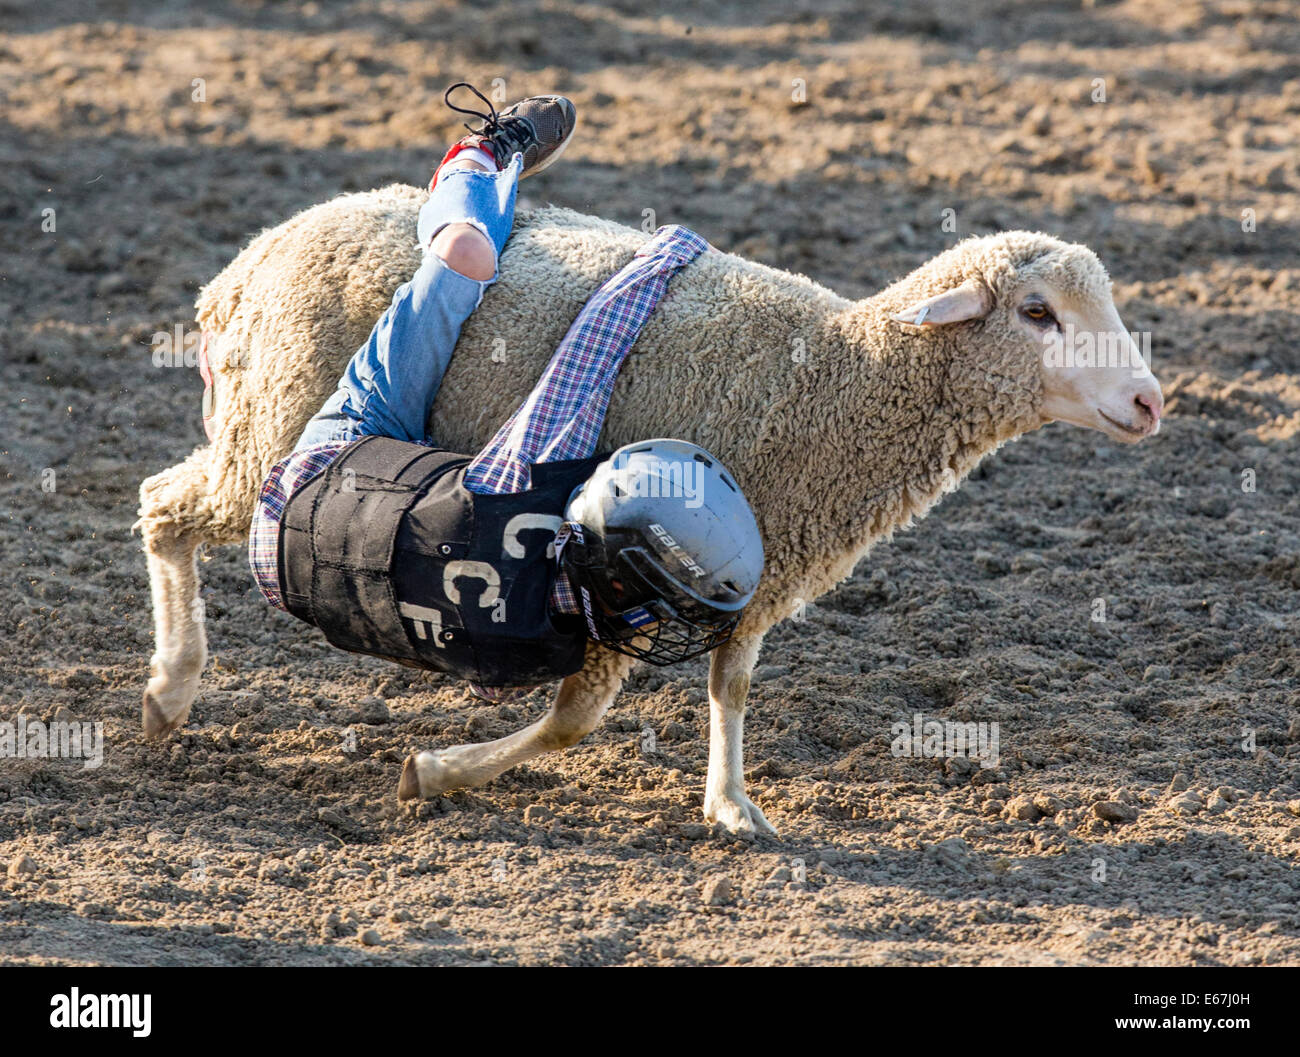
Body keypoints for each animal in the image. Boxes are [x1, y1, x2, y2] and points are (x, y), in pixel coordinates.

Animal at [136, 185, 1163, 835]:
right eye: (1037, 313)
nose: (1151, 401)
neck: (843, 377)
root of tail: (242, 272)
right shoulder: (598, 589)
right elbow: (572, 722)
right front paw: (433, 772)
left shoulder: (758, 578)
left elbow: (729, 689)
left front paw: (732, 805)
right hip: (272, 435)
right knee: (162, 509)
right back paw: (170, 688)